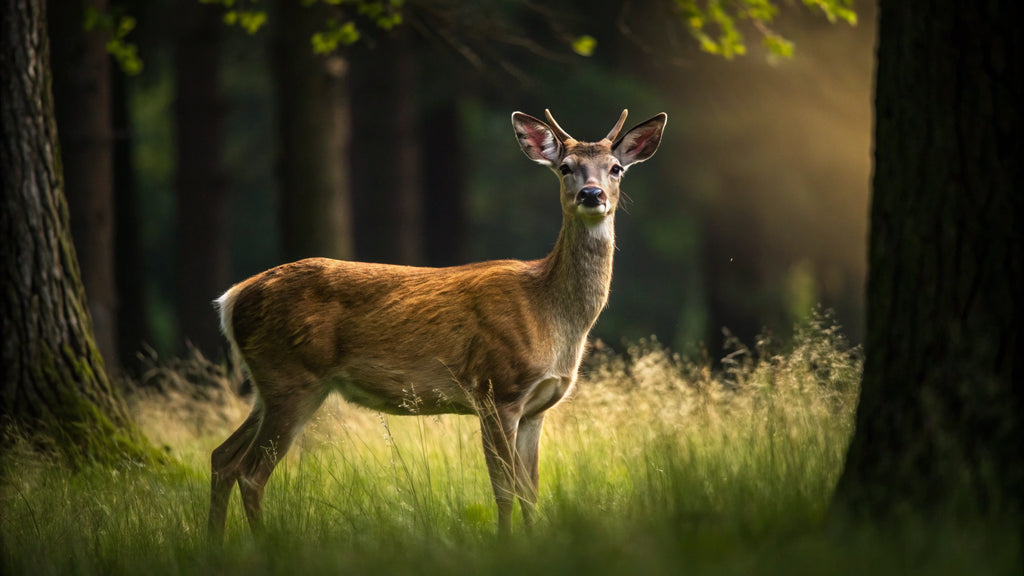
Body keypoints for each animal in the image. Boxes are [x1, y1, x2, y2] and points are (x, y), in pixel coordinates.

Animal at [207, 109, 667, 543]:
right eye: (566, 167)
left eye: (616, 168)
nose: (592, 194)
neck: (551, 315)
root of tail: (231, 298)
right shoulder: (496, 390)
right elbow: (504, 489)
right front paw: (507, 547)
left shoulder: (537, 408)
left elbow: (530, 491)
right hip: (292, 378)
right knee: (251, 472)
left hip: (271, 385)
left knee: (221, 458)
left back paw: (217, 544)